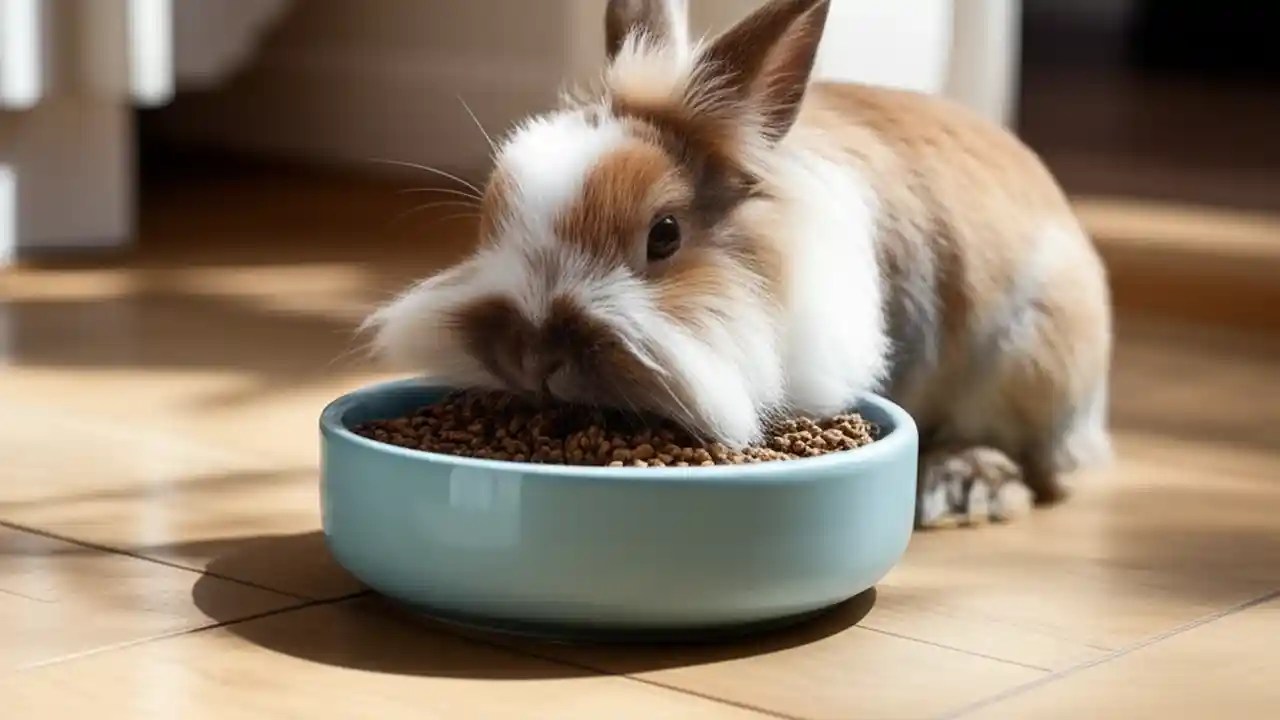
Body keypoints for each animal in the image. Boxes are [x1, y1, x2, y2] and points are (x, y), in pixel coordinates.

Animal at [365, 0, 1113, 528]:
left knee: (1034, 466)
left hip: (1026, 364)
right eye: (492, 222)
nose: (533, 358)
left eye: (664, 235)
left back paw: (960, 487)